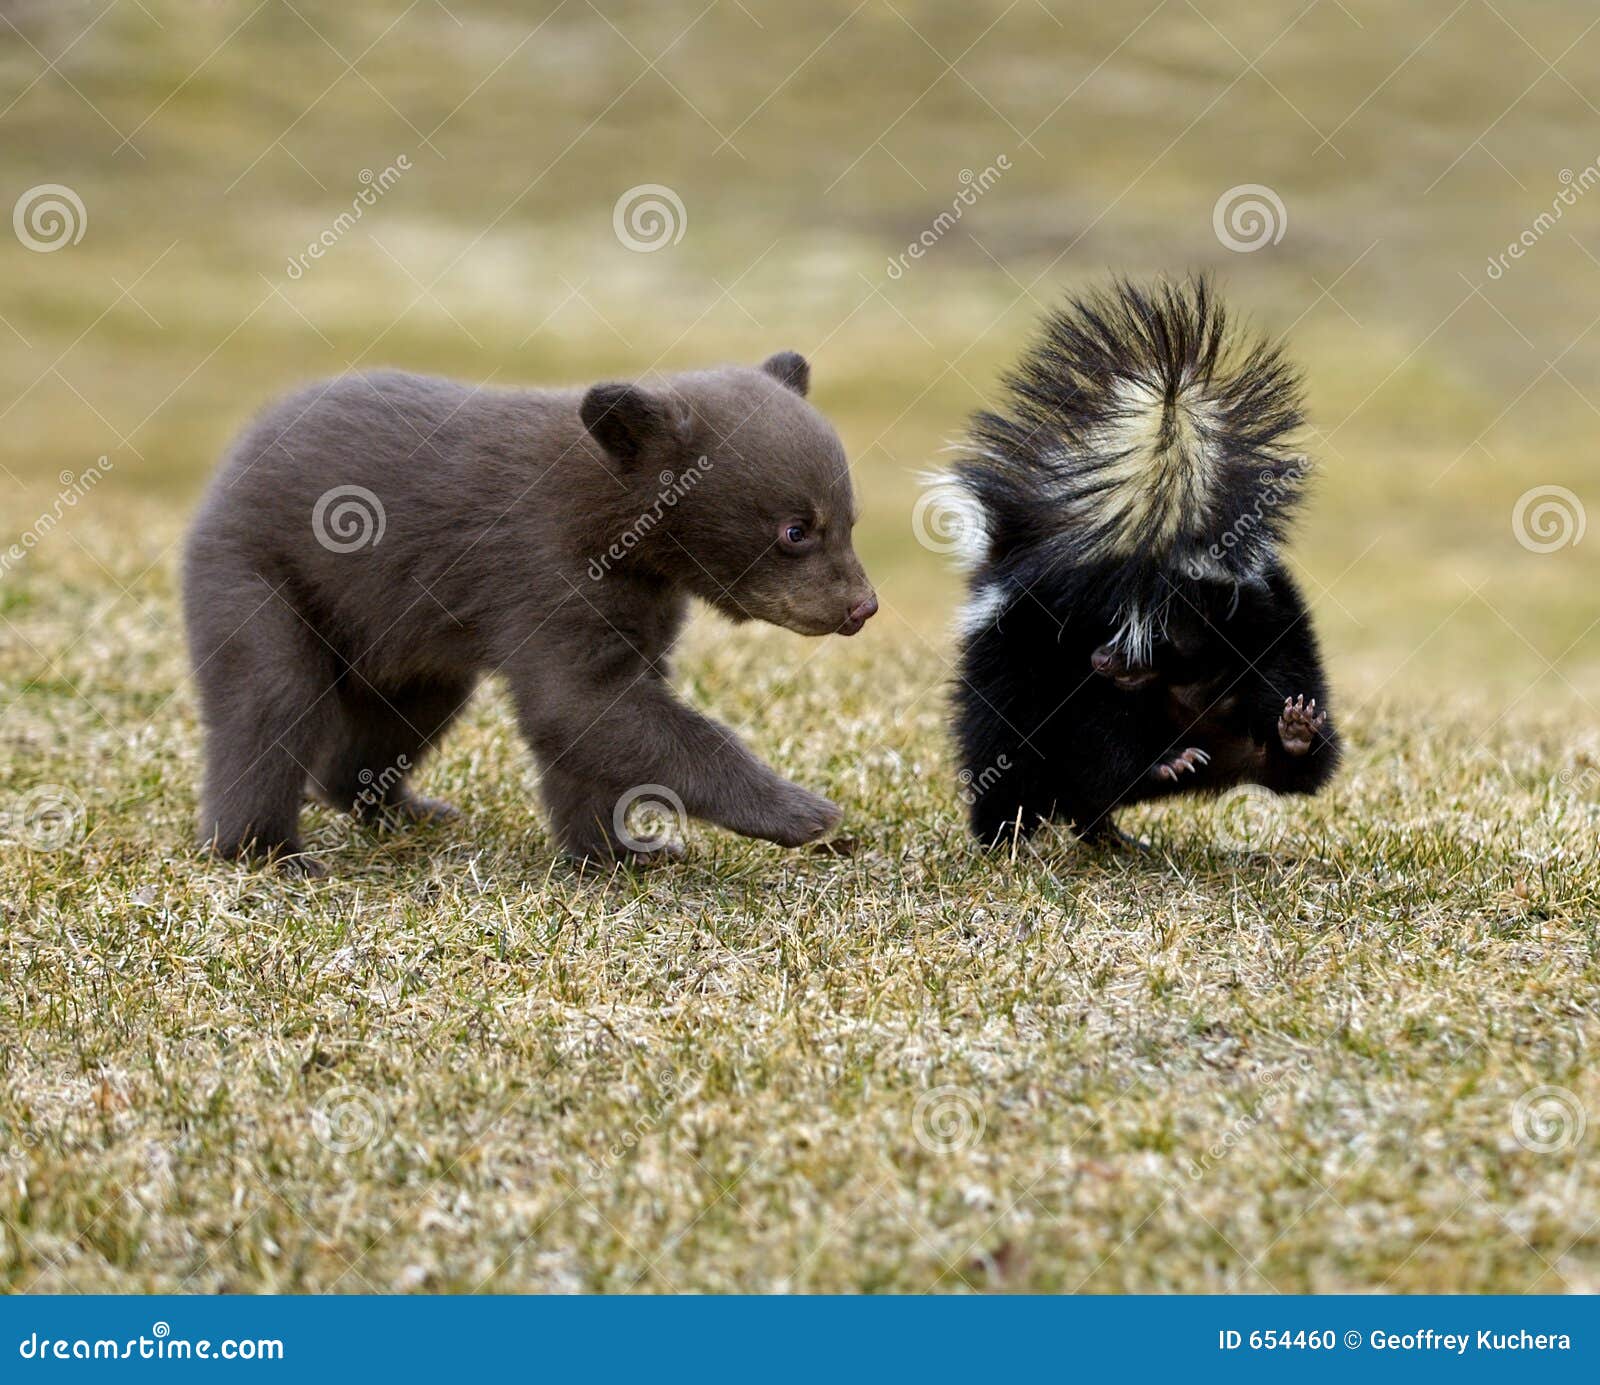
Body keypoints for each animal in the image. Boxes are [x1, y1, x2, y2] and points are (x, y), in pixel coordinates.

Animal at [947, 278, 1337, 844]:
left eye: (1160, 632)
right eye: (1105, 623)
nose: (1101, 659)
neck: (1198, 680)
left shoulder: (1278, 645)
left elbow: (1293, 762)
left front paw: (1297, 730)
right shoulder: (1072, 673)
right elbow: (1093, 738)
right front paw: (1163, 763)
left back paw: (1104, 830)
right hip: (1014, 657)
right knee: (1007, 747)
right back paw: (1007, 834)